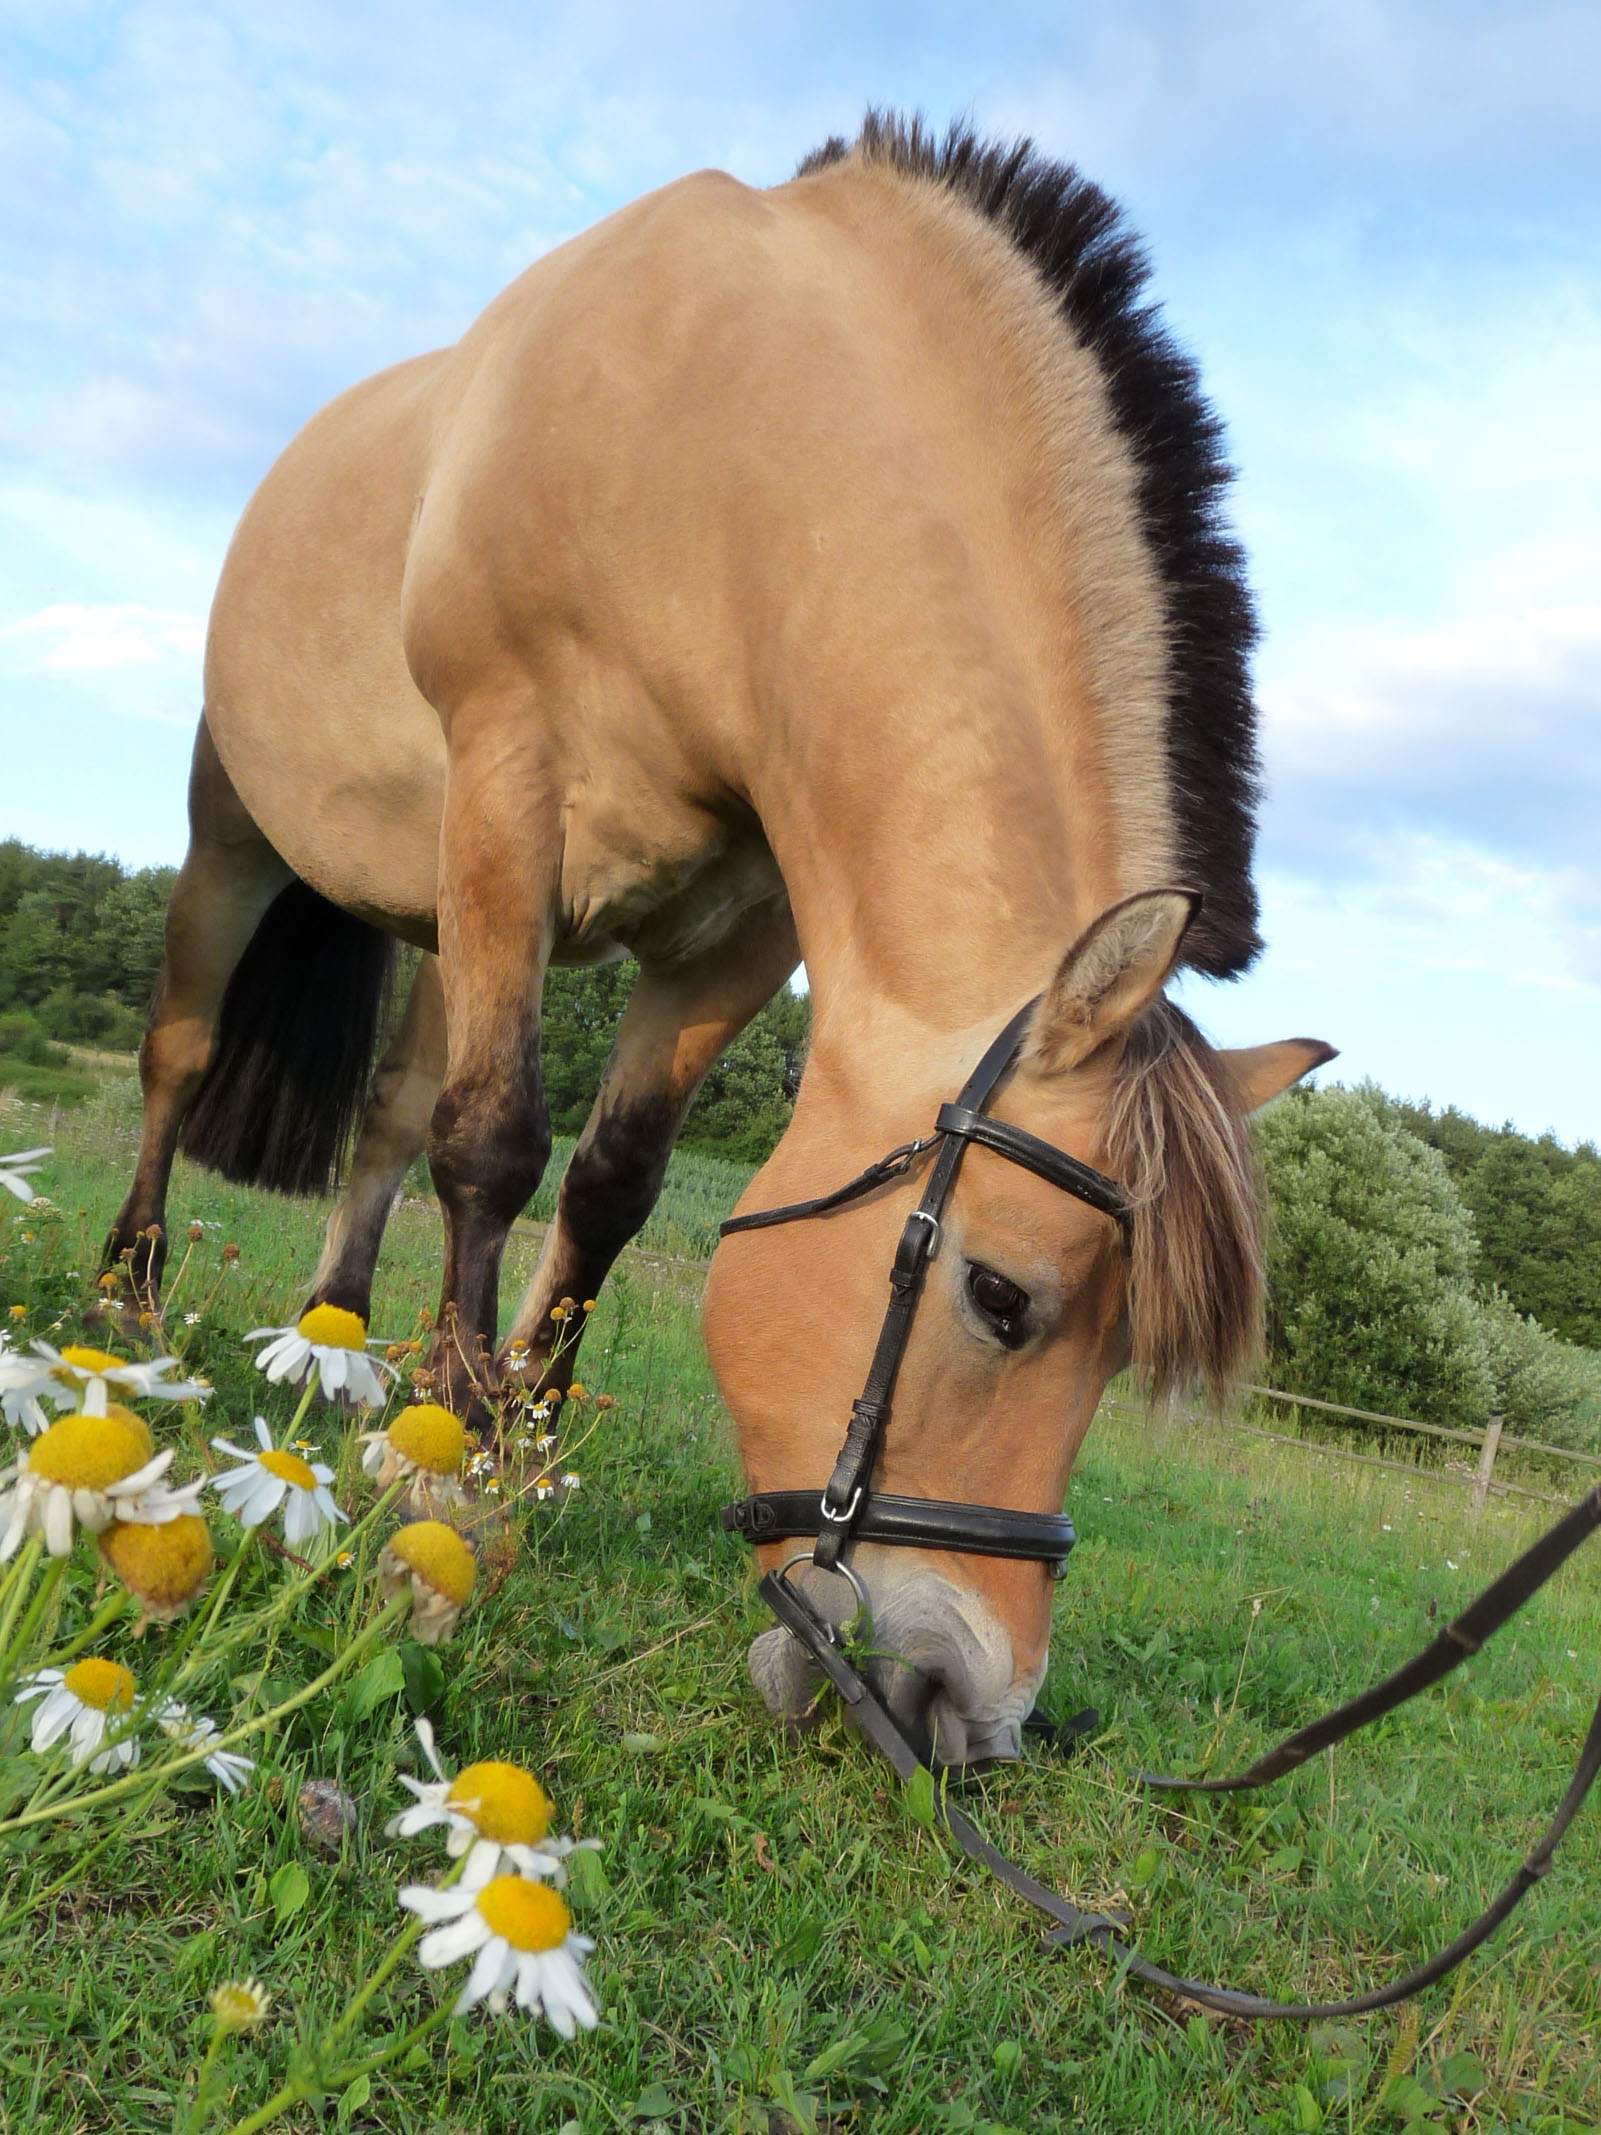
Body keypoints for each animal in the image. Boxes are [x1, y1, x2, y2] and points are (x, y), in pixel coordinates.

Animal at [107, 114, 1332, 1766]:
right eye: (1001, 1299)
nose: (968, 1709)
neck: (723, 473)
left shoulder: (736, 931)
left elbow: (611, 1182)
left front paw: (508, 1439)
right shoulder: (510, 786)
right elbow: (498, 1144)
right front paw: (450, 1481)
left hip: (443, 907)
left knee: (390, 1114)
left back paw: (344, 1351)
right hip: (244, 833)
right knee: (186, 1054)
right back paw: (132, 1299)